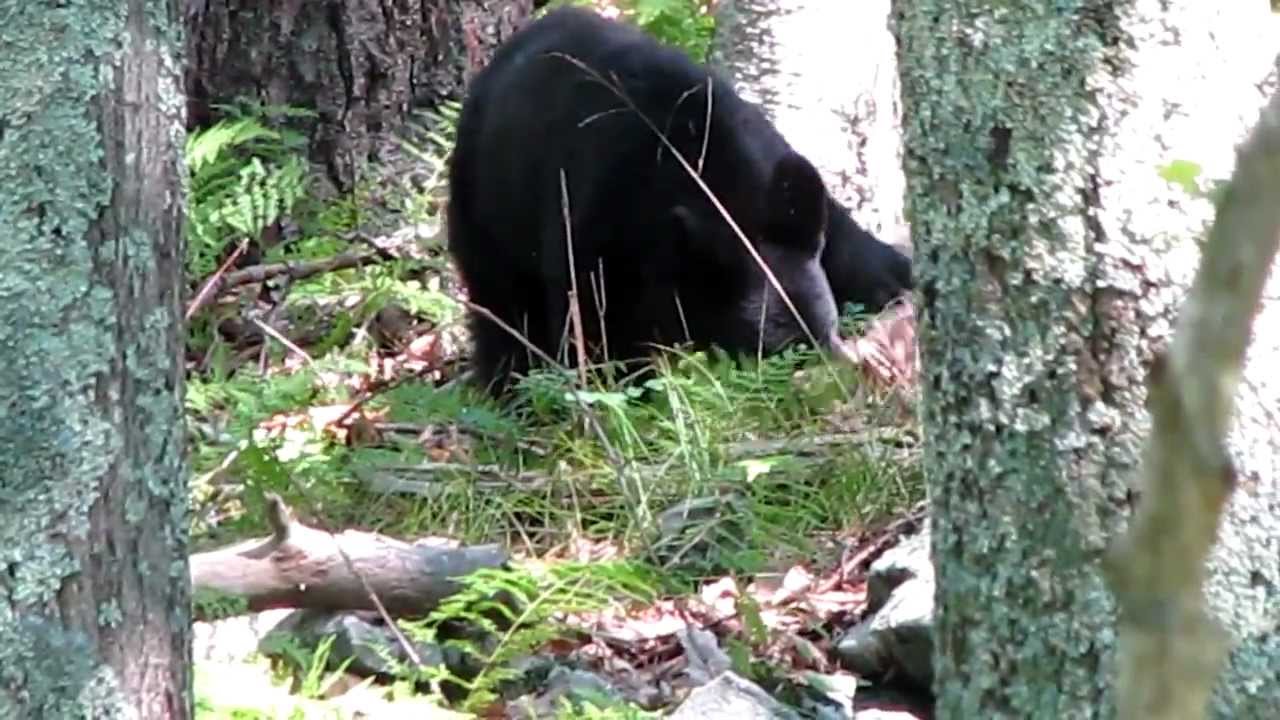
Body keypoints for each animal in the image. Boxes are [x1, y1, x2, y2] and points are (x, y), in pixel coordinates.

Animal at [447, 7, 912, 397]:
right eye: (783, 351)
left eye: (827, 333)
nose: (835, 384)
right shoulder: (597, 215)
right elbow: (596, 322)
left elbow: (852, 249)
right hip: (485, 205)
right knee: (502, 305)